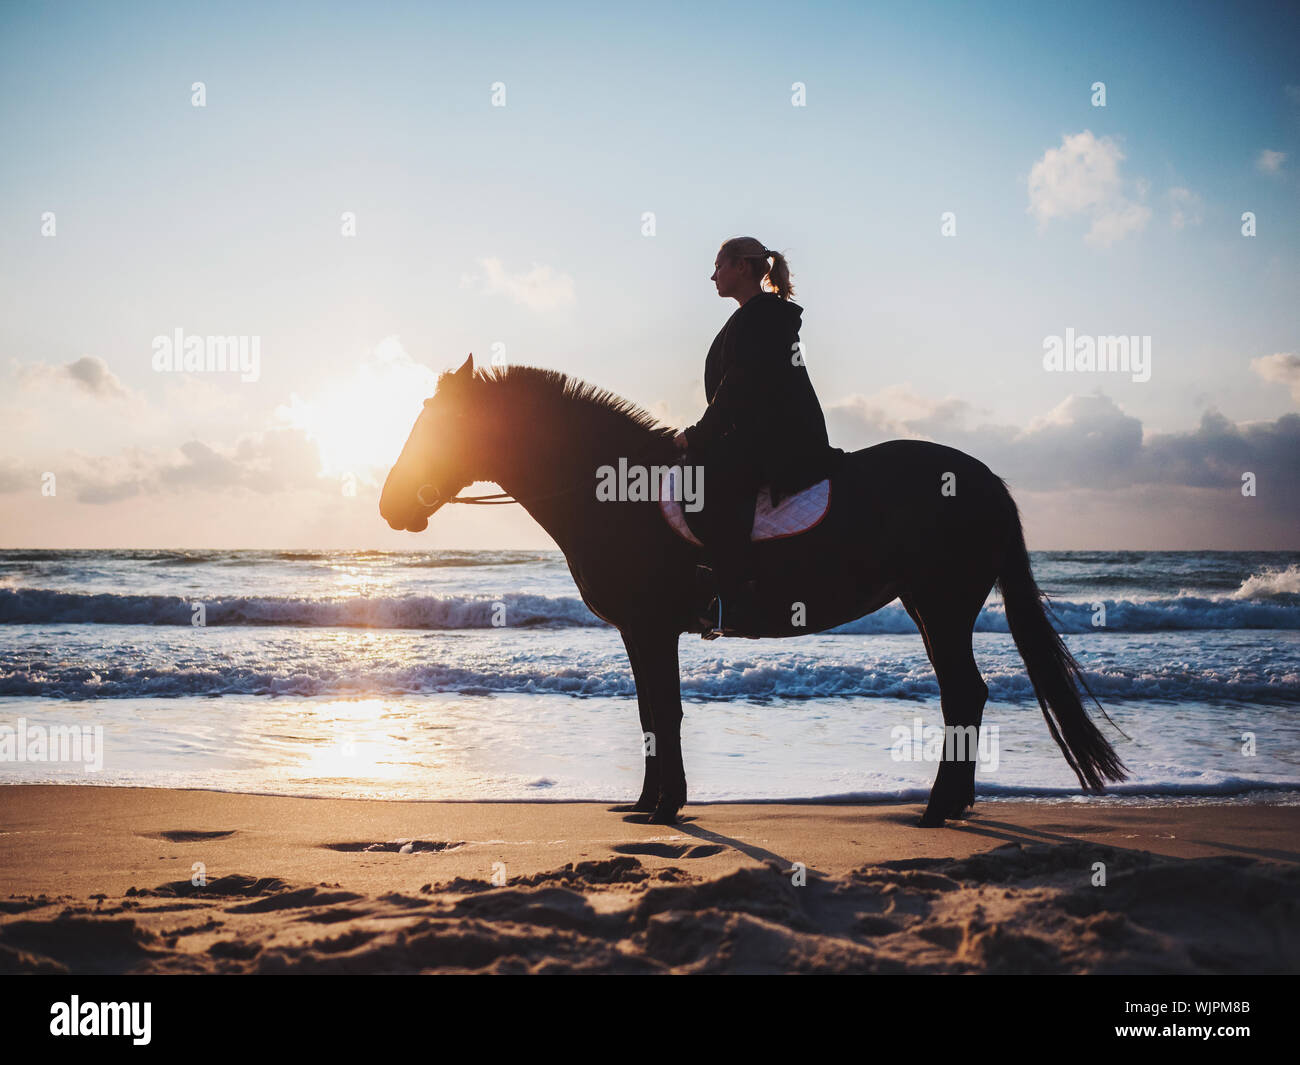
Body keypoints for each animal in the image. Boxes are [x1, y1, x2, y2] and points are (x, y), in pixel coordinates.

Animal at [380, 355, 1126, 826]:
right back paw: (954, 804)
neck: (616, 492)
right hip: (930, 604)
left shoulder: (650, 627)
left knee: (963, 695)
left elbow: (664, 713)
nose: (390, 506)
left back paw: (938, 809)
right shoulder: (641, 633)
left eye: (439, 426)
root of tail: (985, 480)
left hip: (941, 605)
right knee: (965, 695)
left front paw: (664, 807)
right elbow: (651, 715)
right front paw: (648, 804)